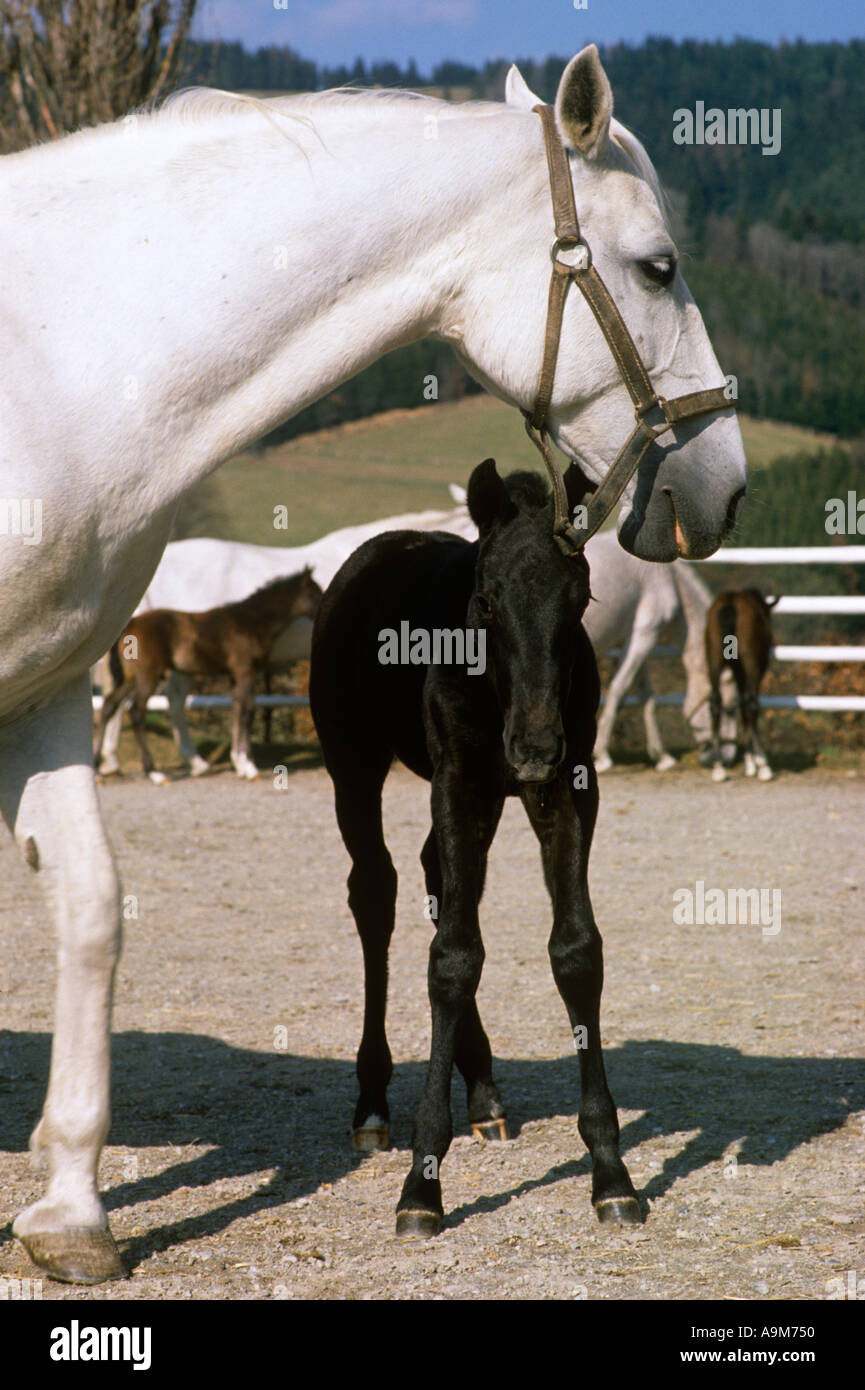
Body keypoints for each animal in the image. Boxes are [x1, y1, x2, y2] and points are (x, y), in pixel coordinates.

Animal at [93, 571, 321, 782]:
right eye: (315, 592)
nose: (321, 613)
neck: (251, 622)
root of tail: (130, 624)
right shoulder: (245, 672)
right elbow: (246, 713)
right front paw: (249, 767)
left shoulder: (235, 676)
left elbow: (237, 710)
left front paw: (240, 764)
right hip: (148, 677)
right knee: (137, 712)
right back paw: (155, 773)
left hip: (130, 679)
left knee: (109, 705)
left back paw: (96, 766)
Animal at [310, 461, 641, 1237]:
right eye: (485, 601)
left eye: (581, 598)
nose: (534, 746)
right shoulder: (458, 779)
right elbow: (454, 957)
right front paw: (421, 1186)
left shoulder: (569, 788)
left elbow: (575, 951)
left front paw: (610, 1170)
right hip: (355, 766)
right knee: (376, 893)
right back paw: (372, 1103)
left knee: (435, 875)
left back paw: (485, 1091)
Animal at [705, 589, 779, 783]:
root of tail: (730, 601)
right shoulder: (754, 669)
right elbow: (748, 704)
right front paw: (755, 763)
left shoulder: (738, 671)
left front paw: (749, 763)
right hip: (751, 662)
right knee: (750, 702)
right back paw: (763, 765)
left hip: (714, 658)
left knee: (716, 702)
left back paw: (718, 767)